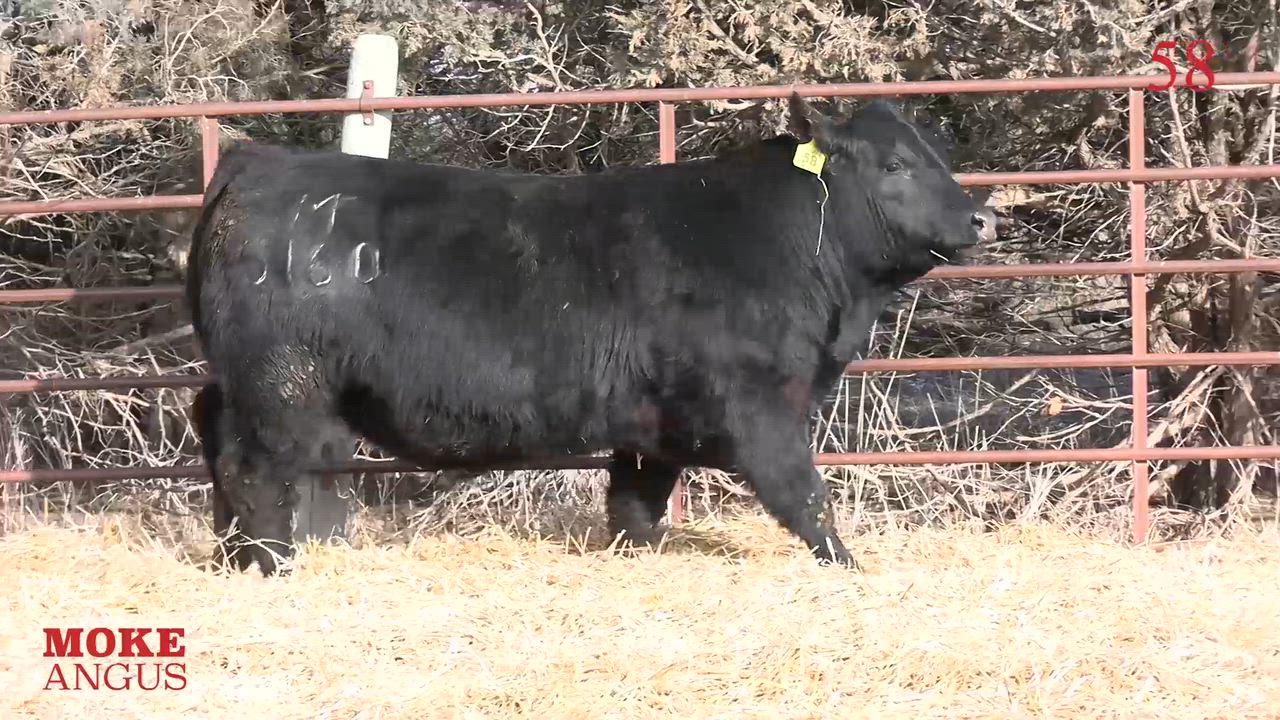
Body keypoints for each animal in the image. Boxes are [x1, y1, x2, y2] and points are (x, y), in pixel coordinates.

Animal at [185, 93, 997, 576]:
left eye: (936, 155)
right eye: (895, 164)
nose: (981, 217)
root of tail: (256, 162)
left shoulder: (657, 416)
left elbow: (637, 499)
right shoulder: (760, 403)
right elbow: (805, 492)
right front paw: (849, 565)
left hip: (246, 385)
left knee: (216, 438)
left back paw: (233, 557)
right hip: (282, 386)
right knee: (255, 469)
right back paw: (271, 564)